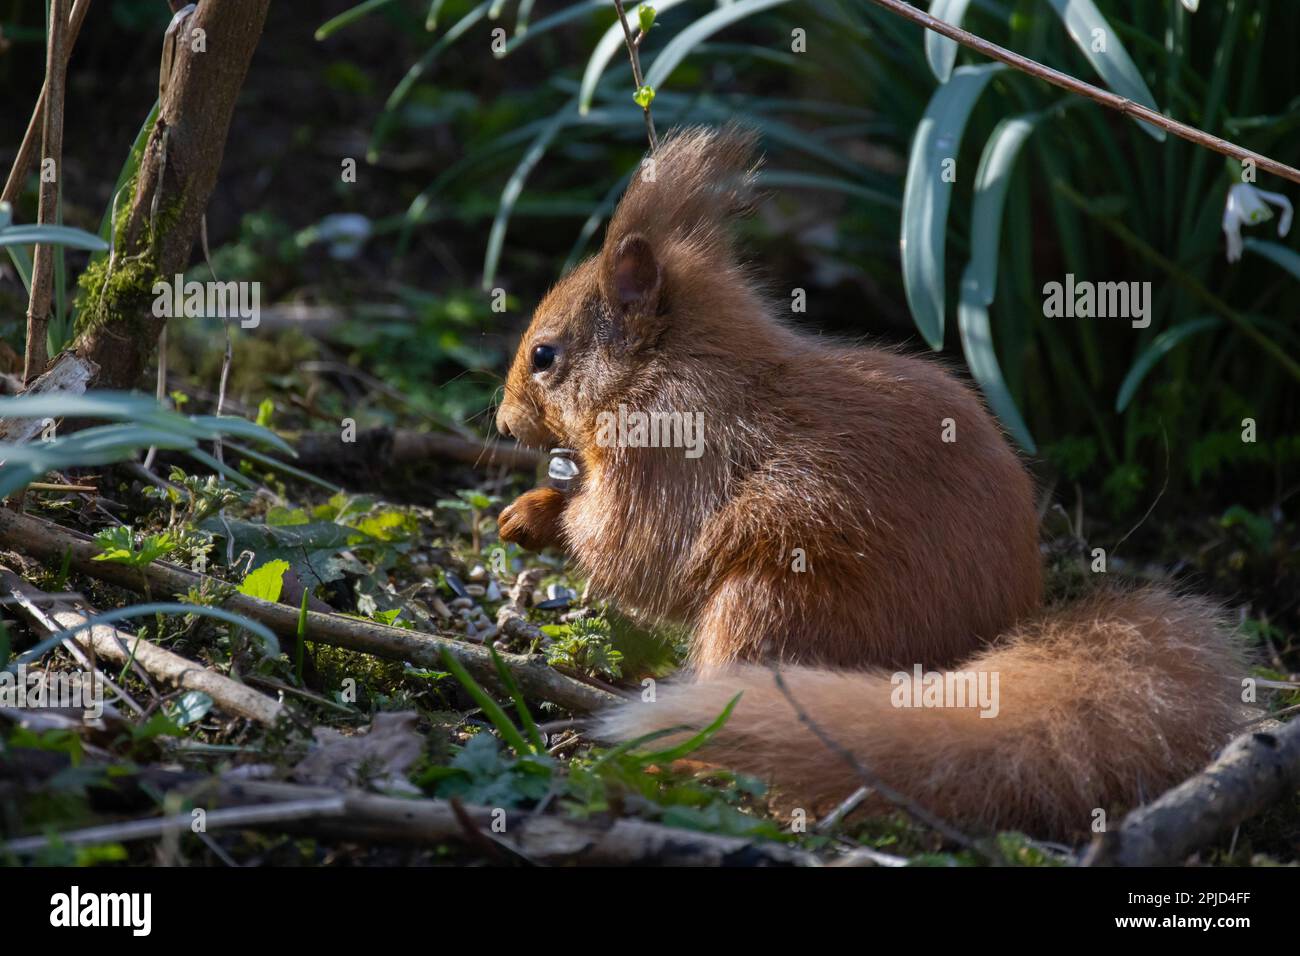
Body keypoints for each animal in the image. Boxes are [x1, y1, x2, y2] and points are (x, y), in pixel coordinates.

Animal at [493, 125, 1244, 839]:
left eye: (545, 355)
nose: (502, 422)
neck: (667, 366)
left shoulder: (671, 454)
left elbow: (631, 549)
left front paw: (538, 511)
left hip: (772, 604)